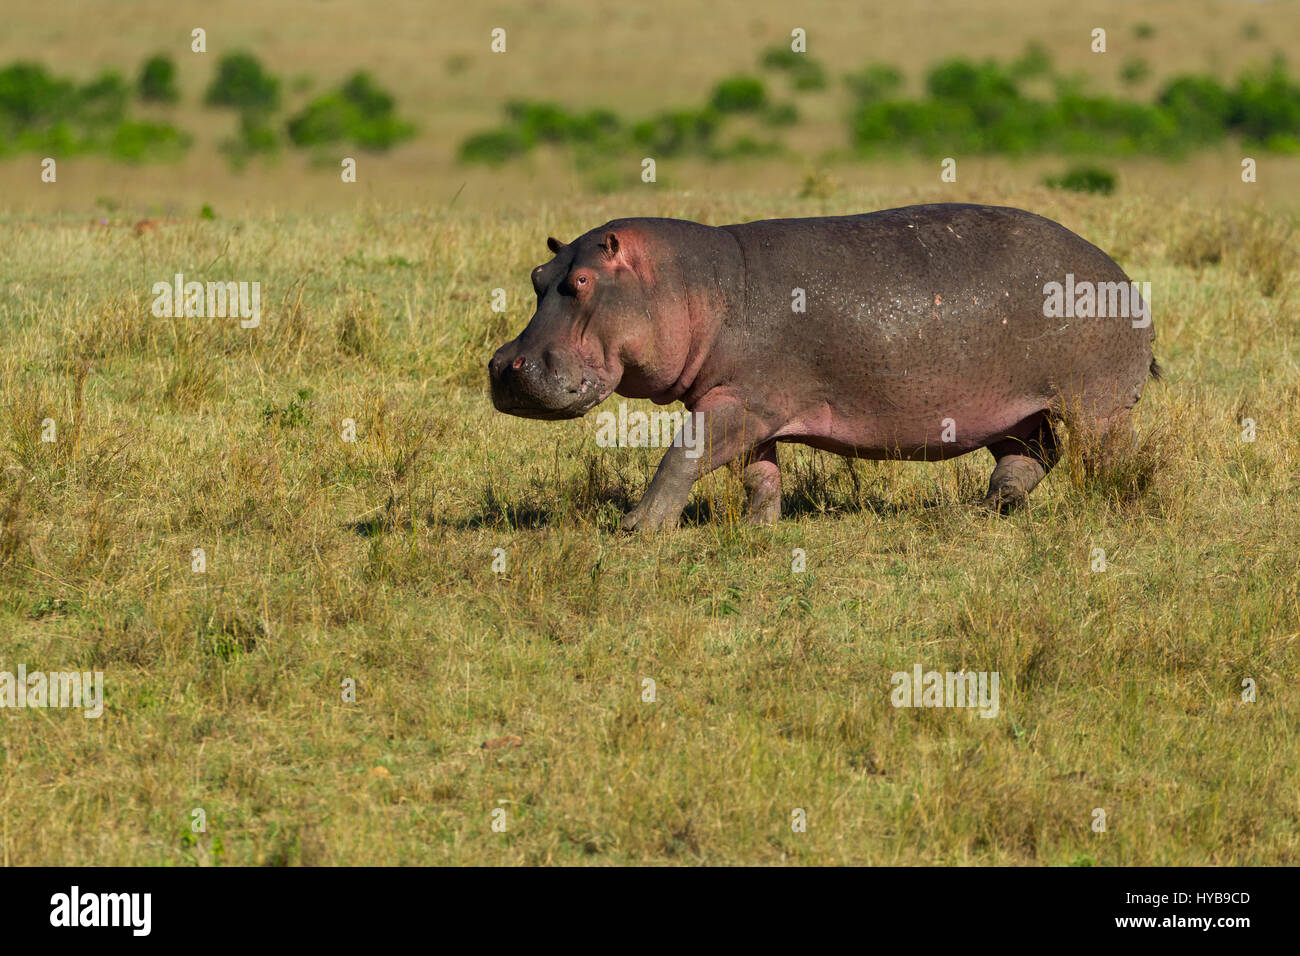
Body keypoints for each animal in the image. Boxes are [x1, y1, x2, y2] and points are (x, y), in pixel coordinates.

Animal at [489, 203, 1158, 530]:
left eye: (581, 281)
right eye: (538, 276)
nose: (502, 365)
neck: (693, 283)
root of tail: (1124, 276)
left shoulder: (741, 400)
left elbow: (682, 455)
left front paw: (636, 527)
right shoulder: (738, 401)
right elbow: (758, 473)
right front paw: (760, 530)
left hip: (1093, 403)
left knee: (1107, 456)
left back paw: (1119, 504)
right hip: (1009, 409)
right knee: (1033, 454)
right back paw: (985, 510)